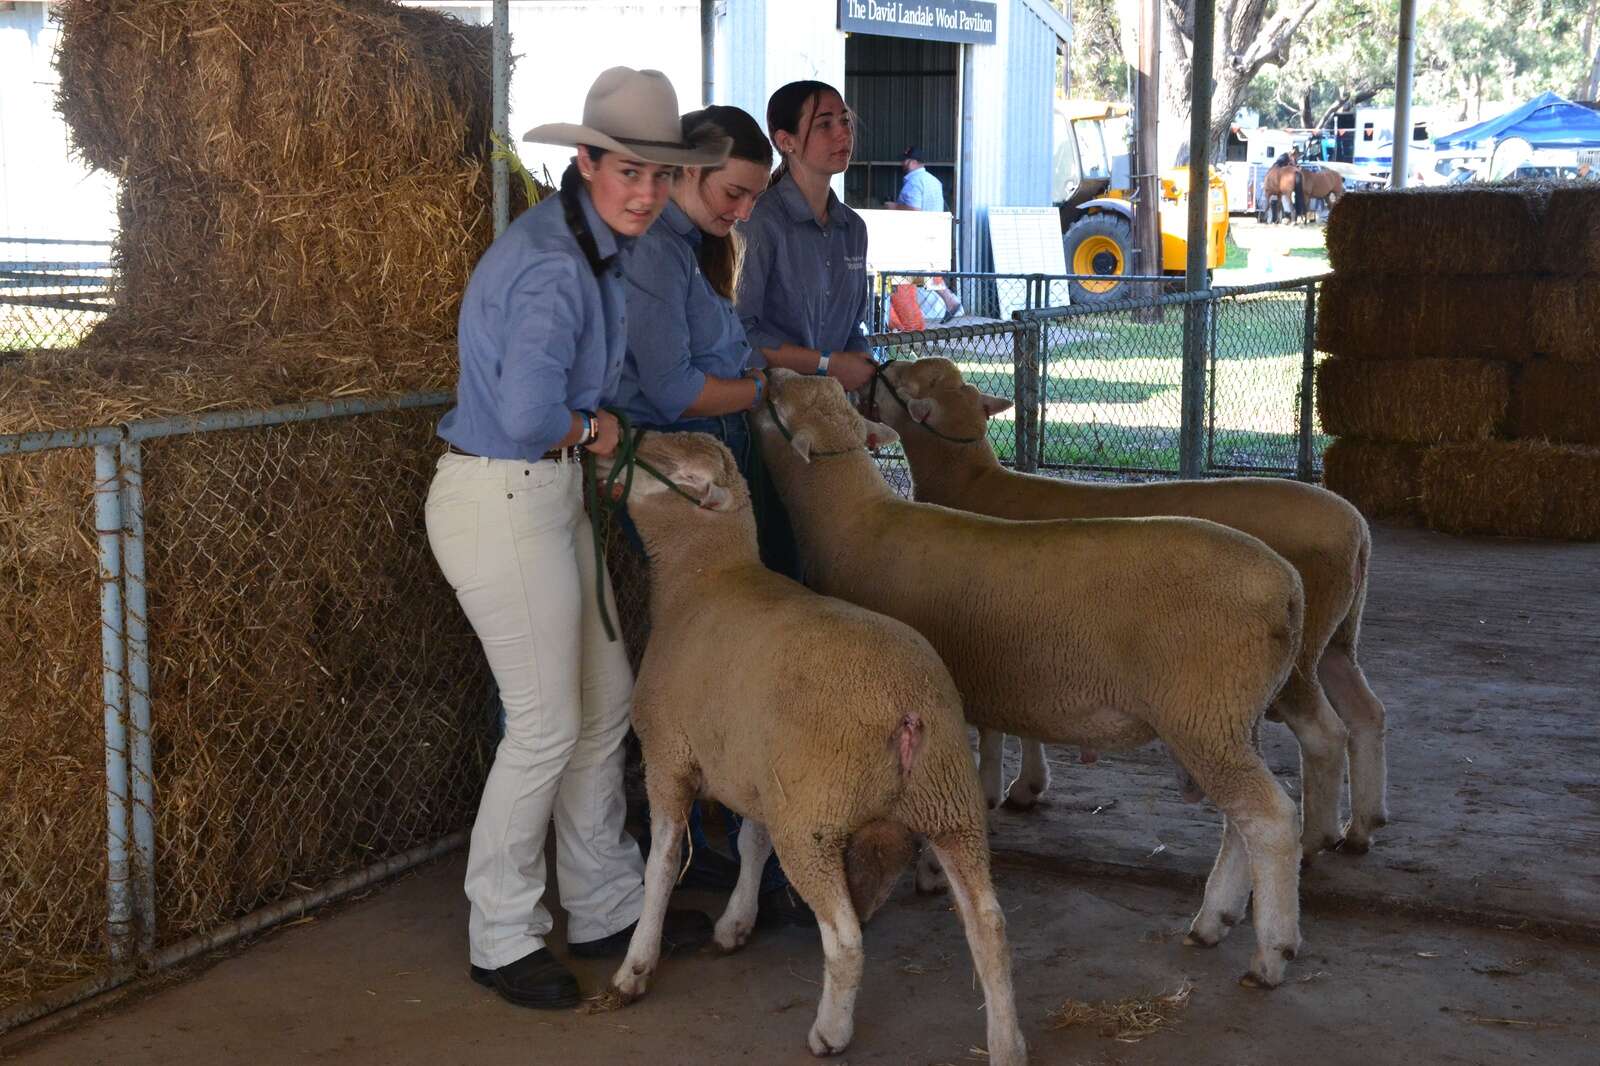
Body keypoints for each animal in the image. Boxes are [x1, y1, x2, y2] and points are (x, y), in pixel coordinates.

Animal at [599, 431, 1026, 1066]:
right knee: (990, 926)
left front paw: (636, 966)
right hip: (949, 805)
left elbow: (664, 864)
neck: (700, 578)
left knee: (845, 940)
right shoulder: (757, 775)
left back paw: (831, 1031)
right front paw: (736, 923)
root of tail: (905, 708)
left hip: (816, 823)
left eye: (669, 463)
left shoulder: (670, 758)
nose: (599, 442)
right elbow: (751, 845)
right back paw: (1006, 1042)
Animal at [754, 369, 1308, 989]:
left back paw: (1270, 953)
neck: (852, 521)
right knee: (1241, 821)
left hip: (1204, 712)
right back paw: (1216, 920)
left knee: (1270, 818)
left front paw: (929, 871)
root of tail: (1287, 589)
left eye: (778, 402)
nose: (766, 373)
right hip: (1233, 714)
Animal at [866, 356, 1389, 860]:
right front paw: (1027, 786)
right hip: (1337, 636)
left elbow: (995, 726)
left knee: (1325, 735)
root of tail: (1358, 529)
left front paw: (1001, 788)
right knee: (1366, 712)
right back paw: (1361, 828)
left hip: (1300, 653)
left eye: (907, 379)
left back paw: (1315, 839)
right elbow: (1021, 718)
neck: (972, 480)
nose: (881, 362)